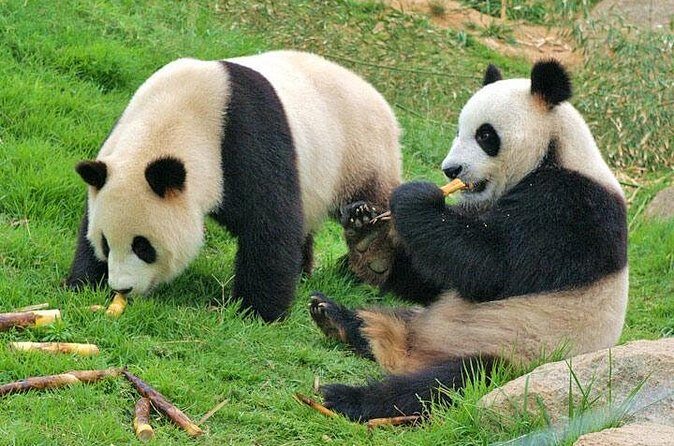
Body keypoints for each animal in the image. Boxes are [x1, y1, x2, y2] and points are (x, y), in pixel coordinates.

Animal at [66, 50, 401, 322]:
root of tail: (376, 93)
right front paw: (83, 283)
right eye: (105, 243)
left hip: (359, 152)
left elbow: (269, 223)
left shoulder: (245, 139)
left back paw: (369, 243)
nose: (121, 287)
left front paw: (257, 312)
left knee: (378, 197)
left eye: (143, 246)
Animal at [308, 60, 628, 420]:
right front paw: (369, 235)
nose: (451, 170)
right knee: (385, 320)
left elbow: (491, 266)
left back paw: (349, 397)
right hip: (424, 321)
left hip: (509, 356)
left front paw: (414, 198)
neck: (554, 151)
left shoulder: (572, 209)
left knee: (441, 386)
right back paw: (338, 316)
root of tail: (409, 355)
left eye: (485, 135)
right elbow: (438, 274)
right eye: (459, 130)